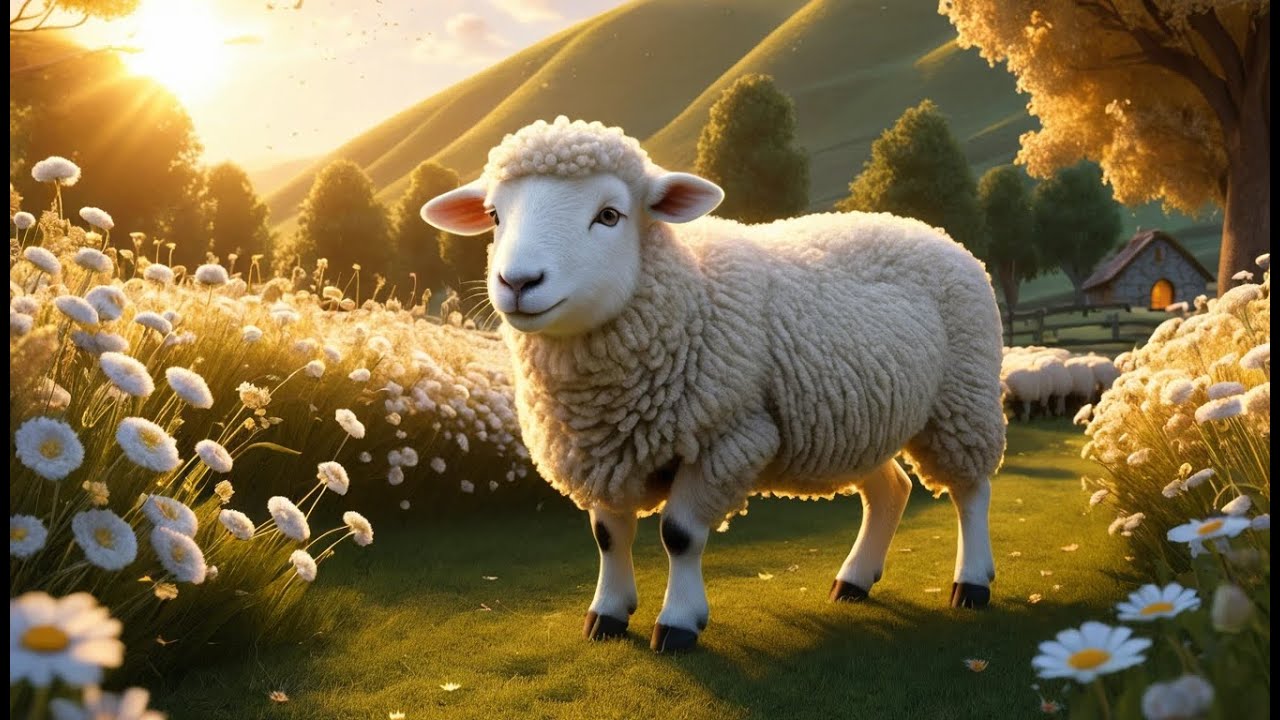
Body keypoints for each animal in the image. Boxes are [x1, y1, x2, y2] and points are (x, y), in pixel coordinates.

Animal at [421, 116, 1006, 652]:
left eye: (609, 215)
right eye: (494, 215)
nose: (518, 282)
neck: (688, 290)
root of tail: (929, 230)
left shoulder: (731, 438)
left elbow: (679, 535)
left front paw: (678, 623)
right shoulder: (603, 450)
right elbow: (608, 537)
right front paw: (607, 615)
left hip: (963, 397)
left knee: (972, 491)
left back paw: (971, 582)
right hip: (858, 420)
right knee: (891, 491)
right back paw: (854, 581)